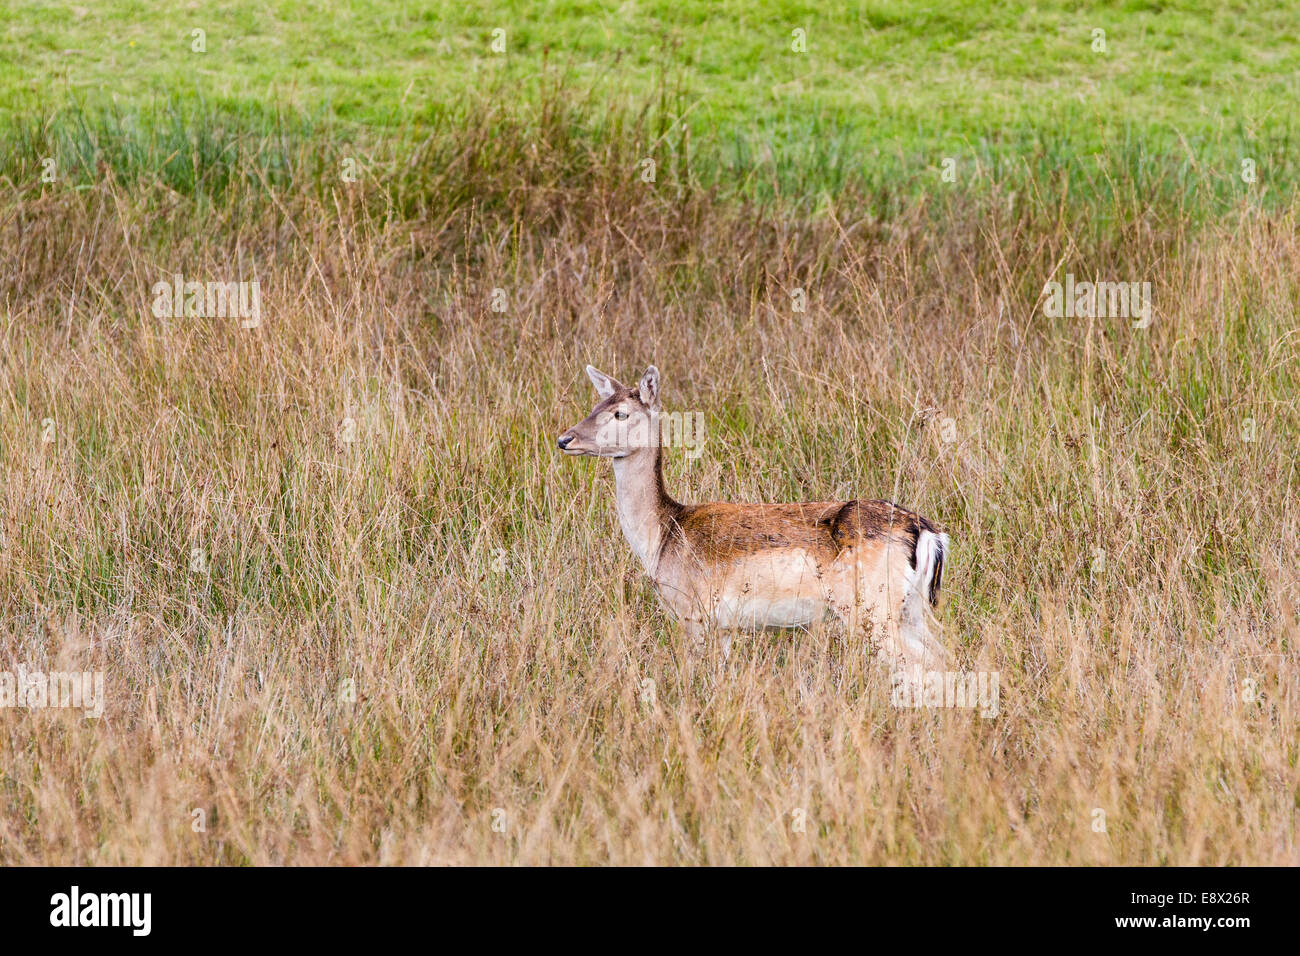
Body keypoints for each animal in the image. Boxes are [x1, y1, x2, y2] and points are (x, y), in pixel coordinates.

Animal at [557, 365, 950, 683]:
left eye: (621, 413)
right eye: (594, 408)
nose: (564, 439)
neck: (662, 538)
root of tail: (928, 533)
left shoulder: (692, 613)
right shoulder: (725, 626)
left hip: (872, 608)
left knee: (918, 665)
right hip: (911, 609)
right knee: (944, 657)